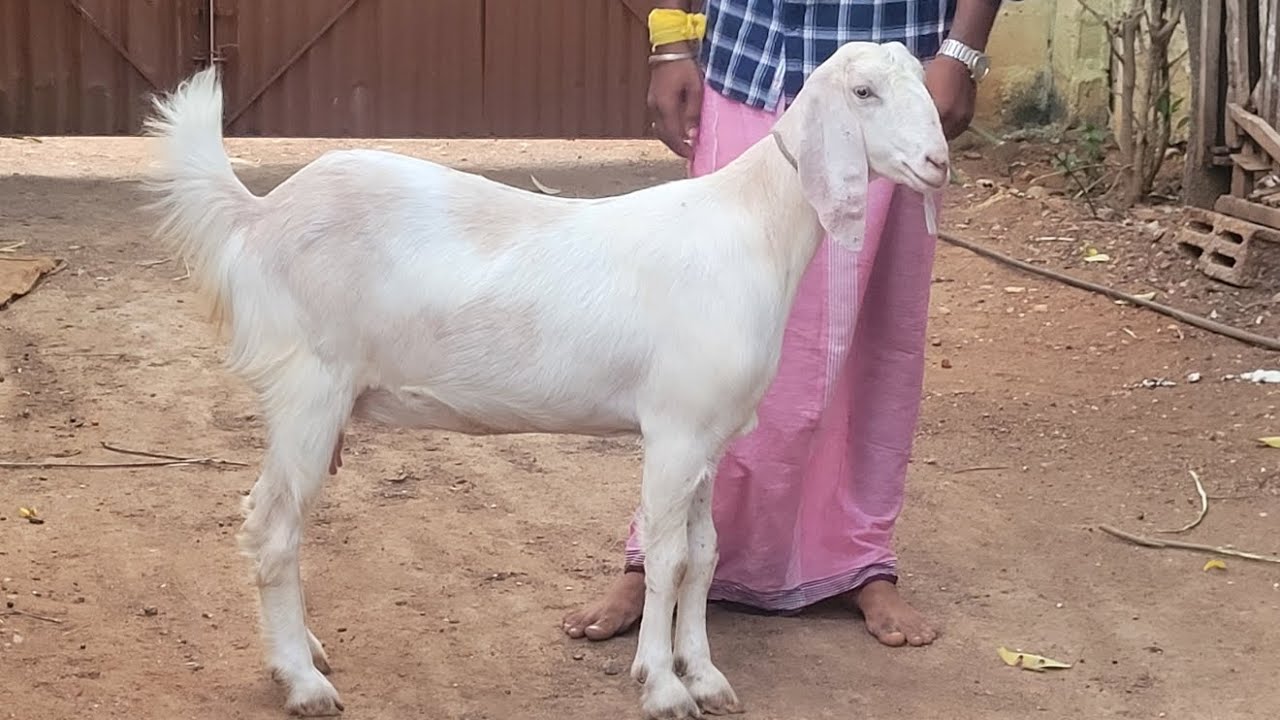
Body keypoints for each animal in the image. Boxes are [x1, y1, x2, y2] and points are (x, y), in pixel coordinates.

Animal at [141, 40, 949, 720]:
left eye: (923, 82)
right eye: (865, 92)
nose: (938, 162)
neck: (752, 226)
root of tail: (259, 214)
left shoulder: (709, 437)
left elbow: (706, 553)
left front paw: (707, 677)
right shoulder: (674, 431)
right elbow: (668, 557)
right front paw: (663, 687)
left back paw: (300, 652)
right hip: (308, 389)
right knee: (272, 528)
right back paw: (303, 683)